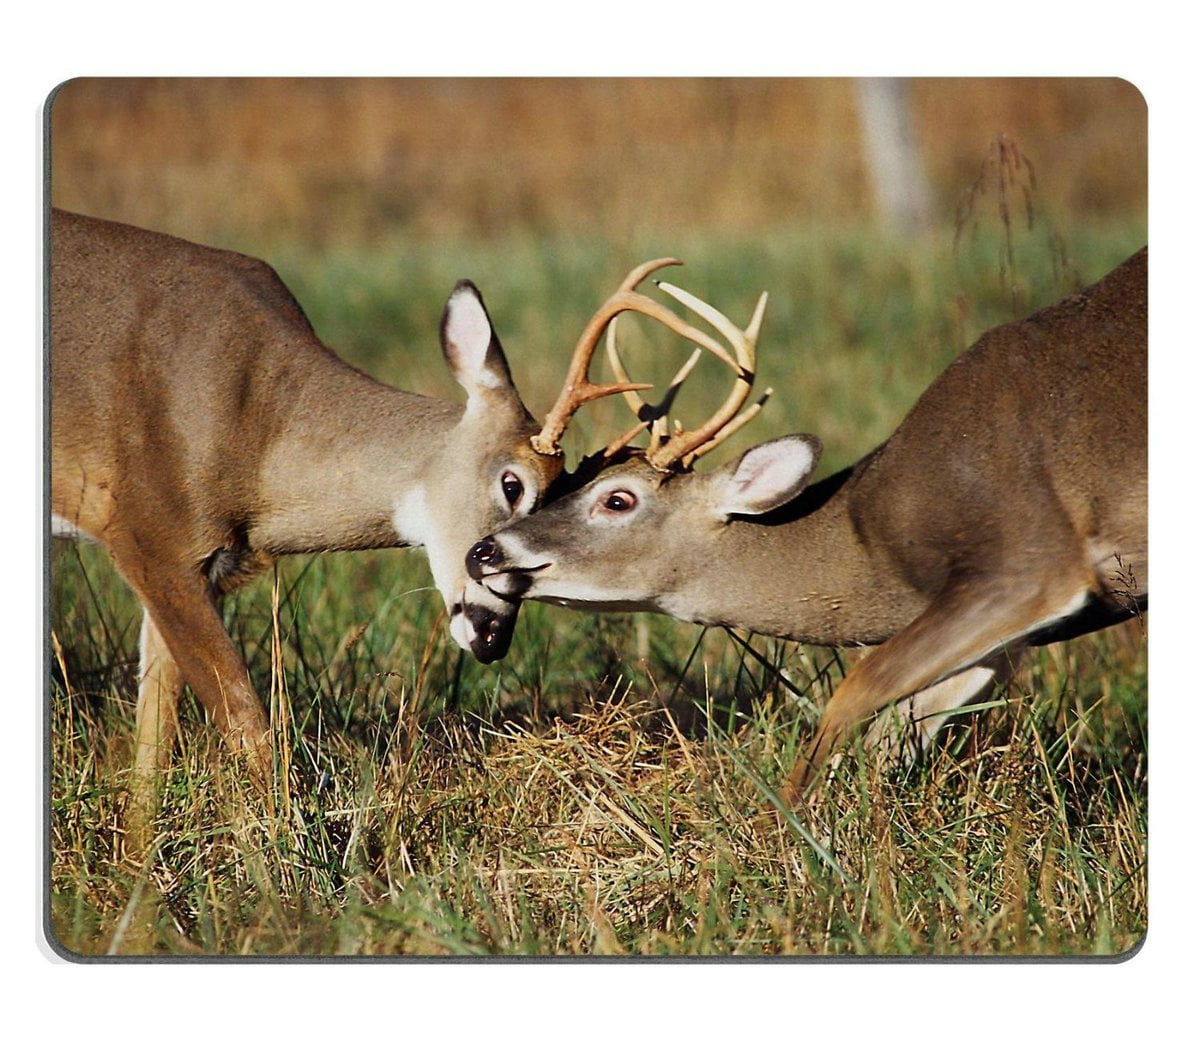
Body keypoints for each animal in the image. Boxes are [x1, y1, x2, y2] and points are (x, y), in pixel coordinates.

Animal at [50, 209, 665, 799]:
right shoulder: (151, 539)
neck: (258, 429)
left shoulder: (193, 568)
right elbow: (246, 721)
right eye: (513, 485)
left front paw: (139, 840)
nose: (493, 636)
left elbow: (152, 747)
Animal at [466, 247, 1148, 806]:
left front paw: (789, 828)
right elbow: (897, 728)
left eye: (617, 500)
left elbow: (857, 690)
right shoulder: (1005, 635)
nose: (483, 552)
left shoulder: (1030, 559)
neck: (875, 543)